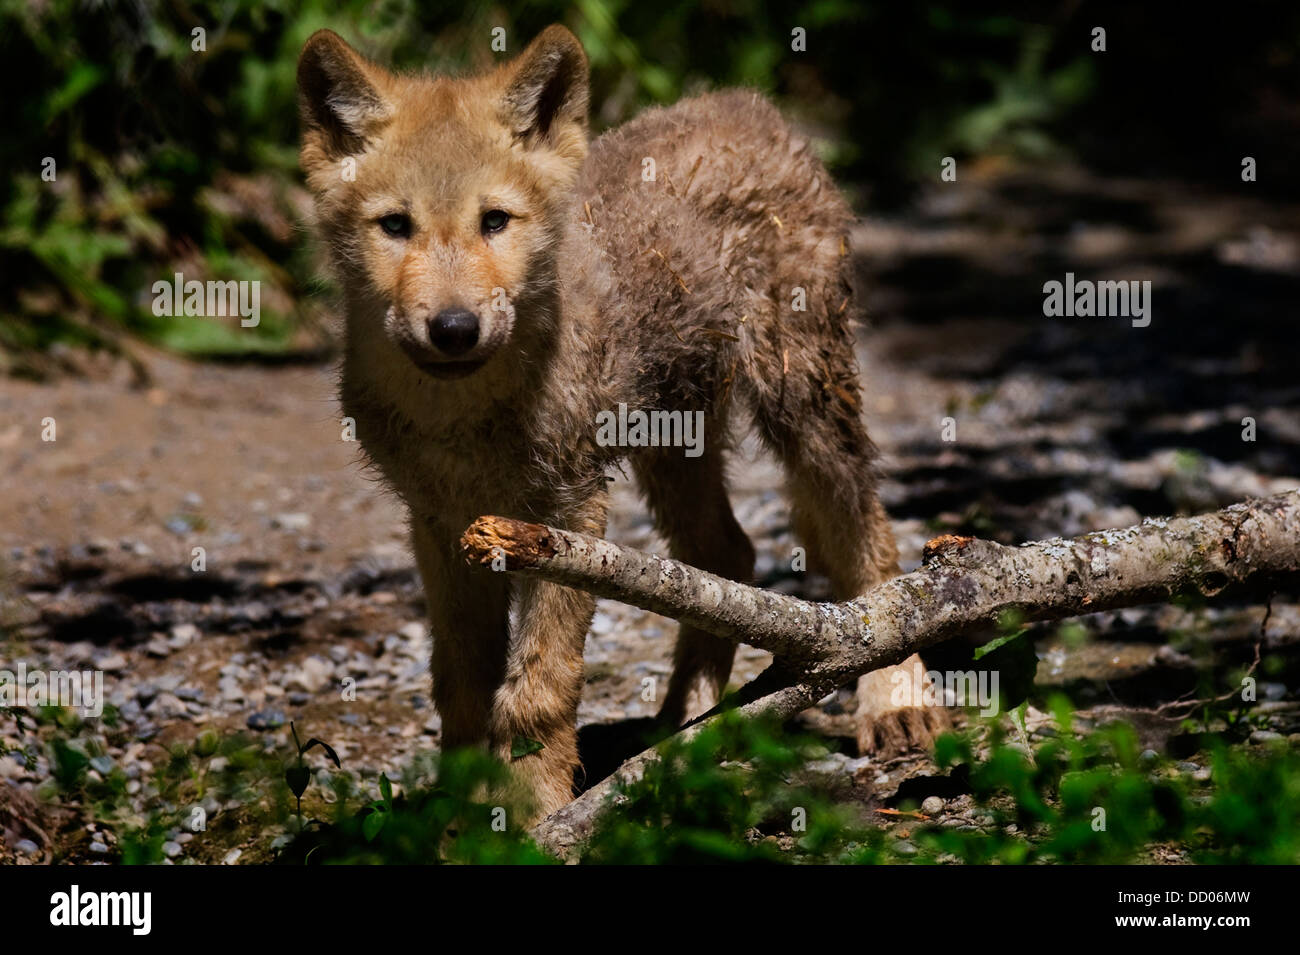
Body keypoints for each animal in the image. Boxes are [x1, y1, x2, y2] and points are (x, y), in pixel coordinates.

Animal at [298, 25, 946, 821]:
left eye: (494, 222)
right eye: (395, 226)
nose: (454, 328)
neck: (463, 415)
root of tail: (748, 104)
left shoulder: (567, 514)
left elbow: (538, 692)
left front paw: (534, 817)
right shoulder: (444, 525)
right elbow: (463, 688)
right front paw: (459, 817)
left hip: (804, 404)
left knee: (873, 550)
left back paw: (896, 701)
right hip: (674, 442)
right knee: (727, 556)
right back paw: (689, 733)